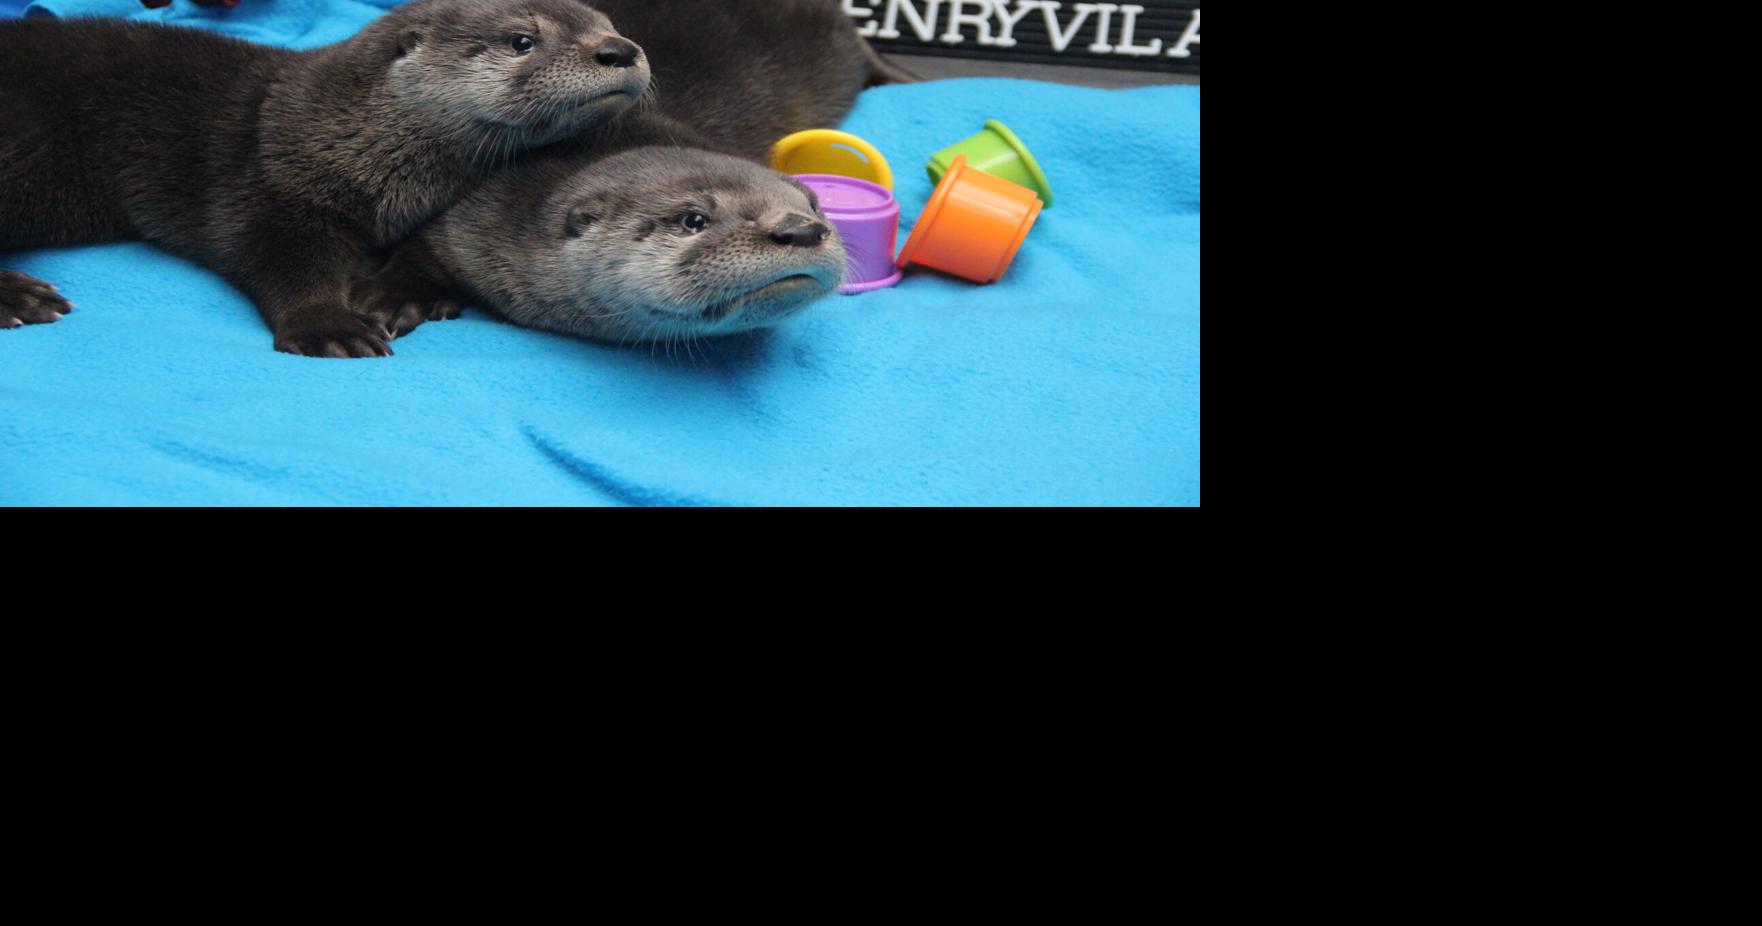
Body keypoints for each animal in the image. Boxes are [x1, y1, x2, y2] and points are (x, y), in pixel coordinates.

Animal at [0, 0, 650, 357]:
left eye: (611, 23)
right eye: (522, 40)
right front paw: (329, 326)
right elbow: (279, 259)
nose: (622, 49)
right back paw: (21, 298)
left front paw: (405, 294)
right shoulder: (269, 189)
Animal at [357, 0, 904, 347]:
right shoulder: (466, 215)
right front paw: (392, 299)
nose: (802, 229)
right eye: (693, 220)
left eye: (813, 205)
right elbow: (419, 249)